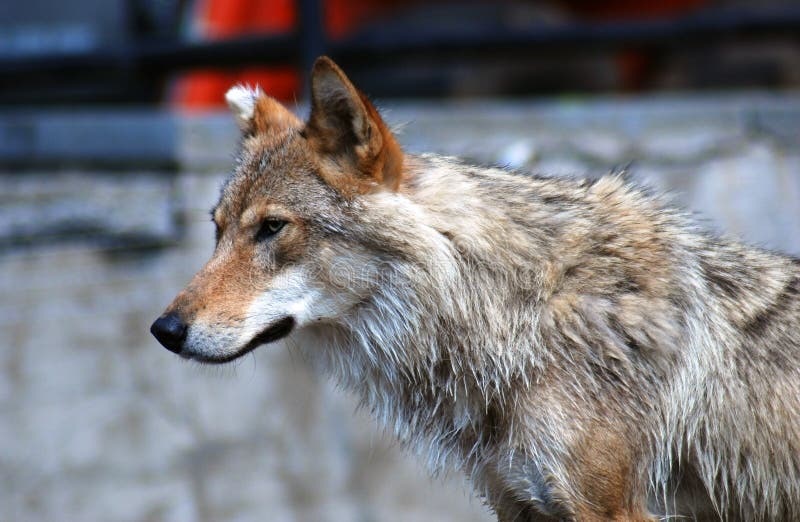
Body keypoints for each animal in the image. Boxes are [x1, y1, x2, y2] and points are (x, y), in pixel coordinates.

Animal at [151, 56, 800, 521]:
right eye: (216, 230)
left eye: (272, 228)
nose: (164, 330)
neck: (511, 317)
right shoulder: (517, 502)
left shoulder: (609, 509)